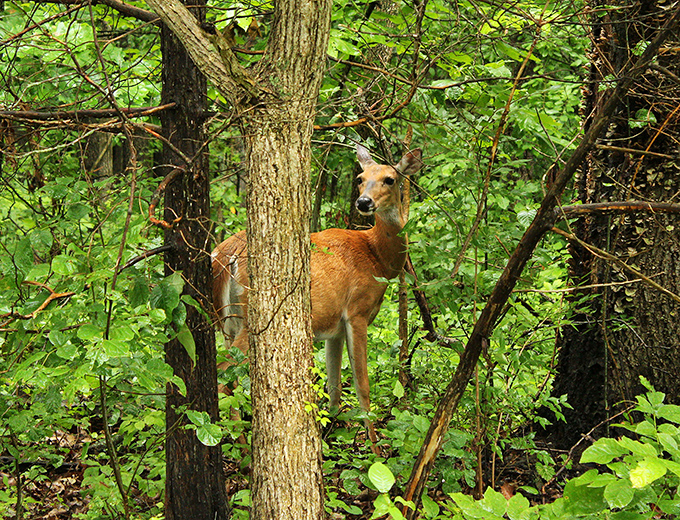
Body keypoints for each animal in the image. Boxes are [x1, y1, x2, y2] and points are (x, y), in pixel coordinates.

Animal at [212, 144, 422, 450]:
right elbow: (362, 385)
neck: (377, 258)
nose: (363, 202)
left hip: (228, 321)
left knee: (231, 377)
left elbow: (334, 387)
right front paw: (374, 448)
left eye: (390, 179)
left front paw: (333, 434)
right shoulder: (357, 311)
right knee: (224, 376)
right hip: (252, 318)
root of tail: (224, 256)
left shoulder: (334, 328)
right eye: (360, 178)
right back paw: (239, 444)